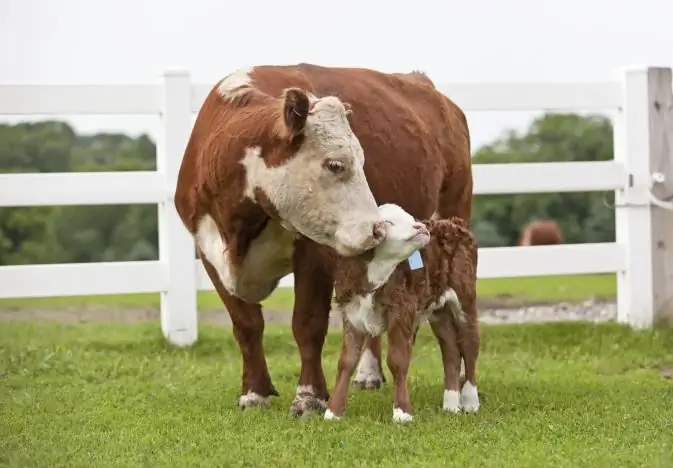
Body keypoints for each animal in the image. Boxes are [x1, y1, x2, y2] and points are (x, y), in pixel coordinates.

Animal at [324, 203, 478, 422]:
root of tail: (453, 223)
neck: (376, 274)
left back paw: (471, 402)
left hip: (465, 300)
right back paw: (450, 405)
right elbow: (346, 360)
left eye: (411, 217)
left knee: (469, 345)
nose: (421, 227)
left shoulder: (401, 312)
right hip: (439, 310)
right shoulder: (351, 313)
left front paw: (402, 413)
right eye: (388, 222)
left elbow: (397, 360)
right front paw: (333, 412)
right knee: (451, 350)